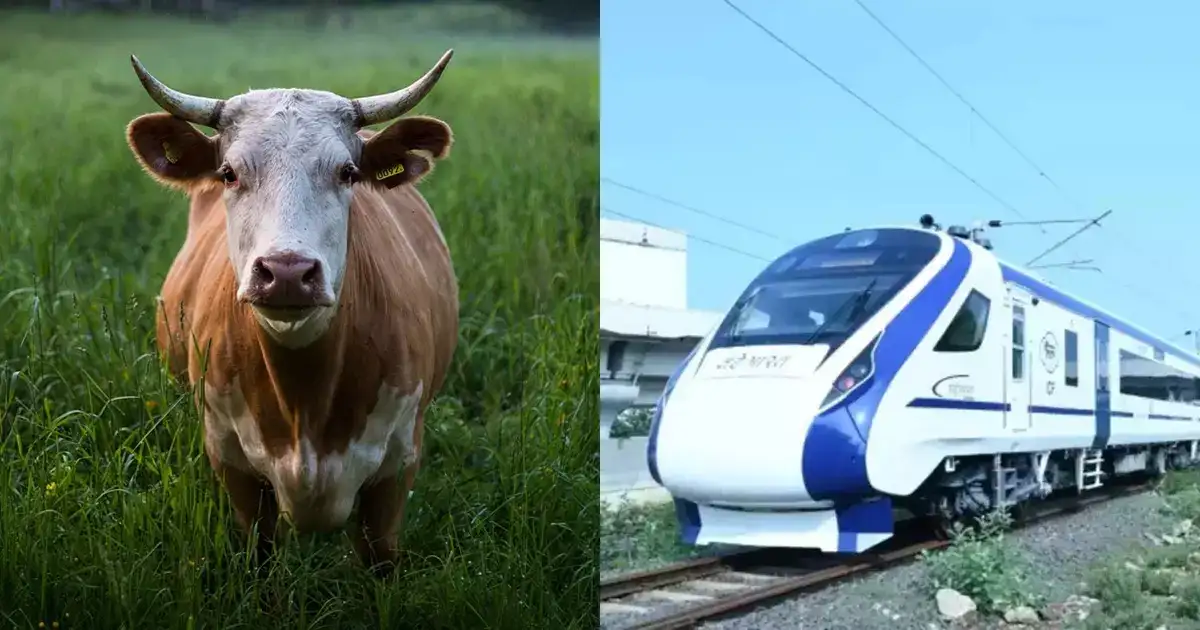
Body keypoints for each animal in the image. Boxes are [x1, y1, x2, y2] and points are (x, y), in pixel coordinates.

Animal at [124, 51, 460, 576]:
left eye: (347, 173)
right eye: (228, 173)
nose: (286, 272)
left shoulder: (398, 467)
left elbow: (380, 559)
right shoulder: (233, 464)